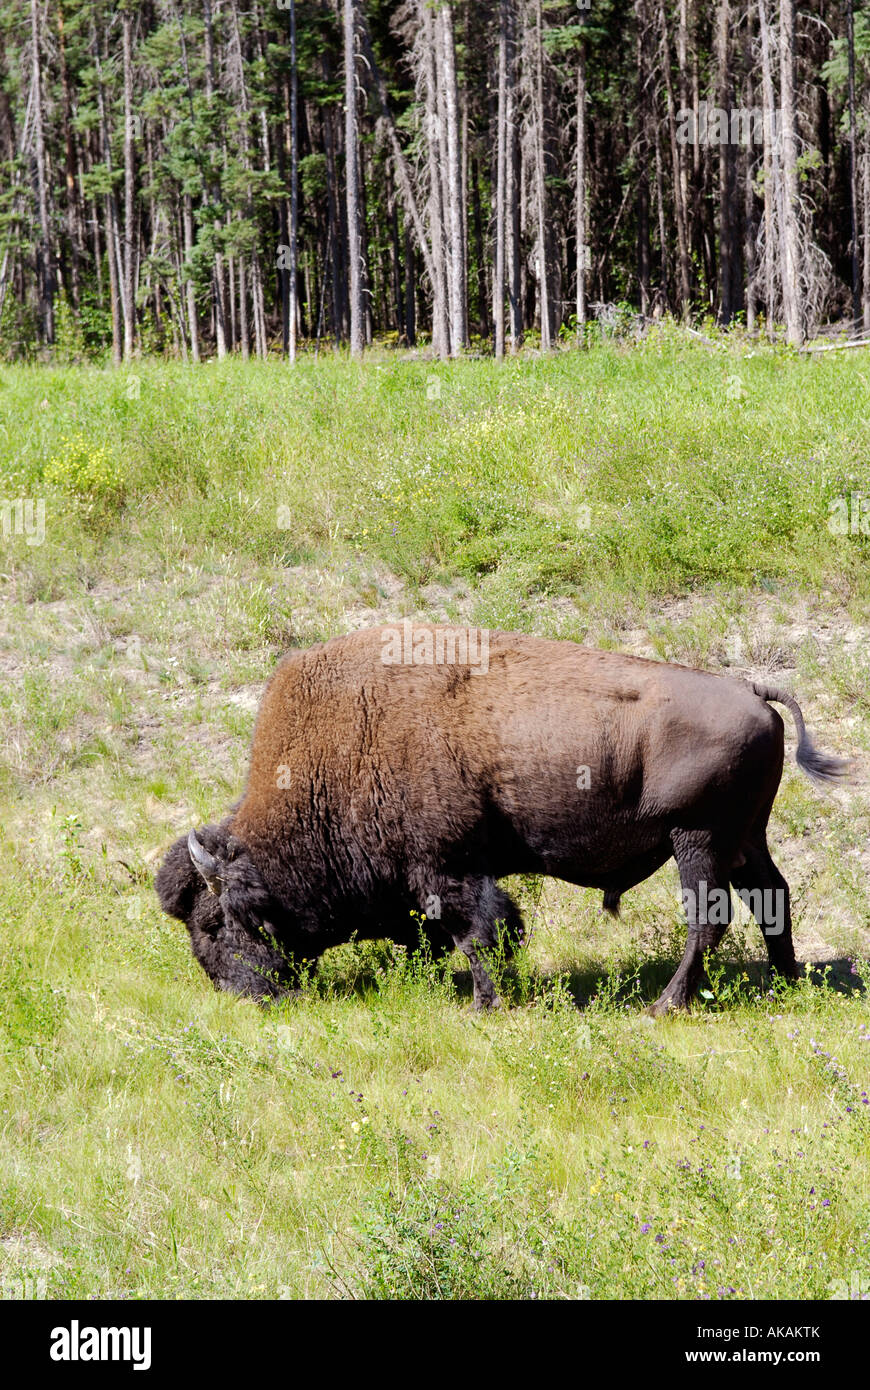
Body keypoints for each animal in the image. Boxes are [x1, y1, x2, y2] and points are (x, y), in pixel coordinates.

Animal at [155, 623, 845, 1014]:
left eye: (213, 923)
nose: (238, 994)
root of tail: (752, 691)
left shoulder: (450, 870)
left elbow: (478, 933)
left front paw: (486, 1004)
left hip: (696, 840)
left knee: (710, 918)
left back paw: (665, 1007)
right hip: (742, 839)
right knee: (772, 897)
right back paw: (788, 985)